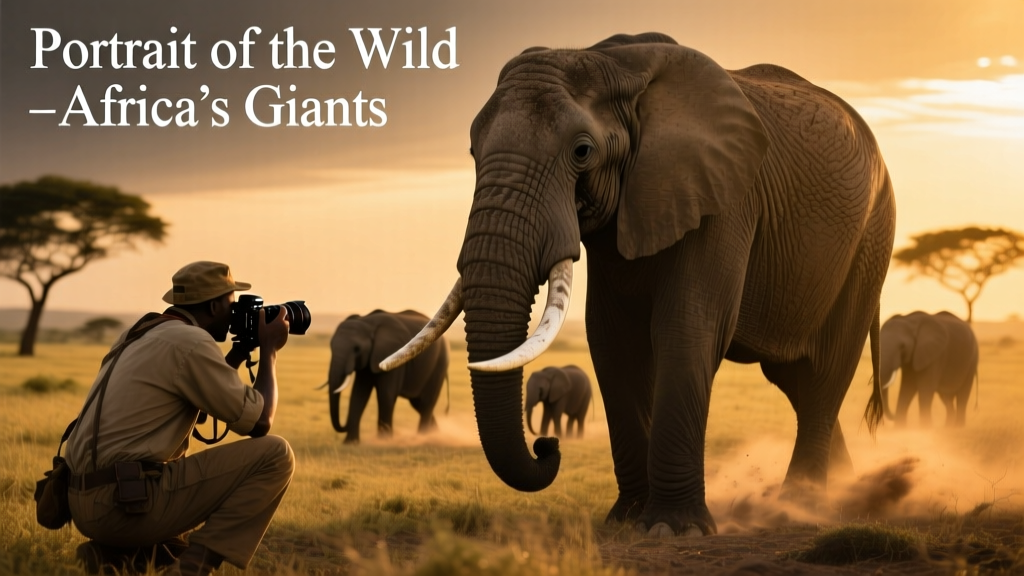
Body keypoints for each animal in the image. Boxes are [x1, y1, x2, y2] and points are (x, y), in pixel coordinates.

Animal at [326, 310, 448, 444]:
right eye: (330, 346)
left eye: (357, 349)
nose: (344, 425)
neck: (368, 322)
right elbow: (358, 394)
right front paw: (350, 444)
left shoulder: (391, 353)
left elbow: (386, 394)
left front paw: (384, 441)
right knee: (418, 403)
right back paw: (435, 435)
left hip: (439, 364)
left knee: (427, 403)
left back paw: (423, 437)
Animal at [380, 33, 895, 537]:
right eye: (472, 151)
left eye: (582, 151)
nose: (547, 446)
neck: (612, 60)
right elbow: (613, 340)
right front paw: (626, 520)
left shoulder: (722, 199)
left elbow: (687, 328)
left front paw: (672, 529)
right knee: (796, 380)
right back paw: (840, 496)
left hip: (870, 241)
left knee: (824, 374)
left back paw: (800, 506)